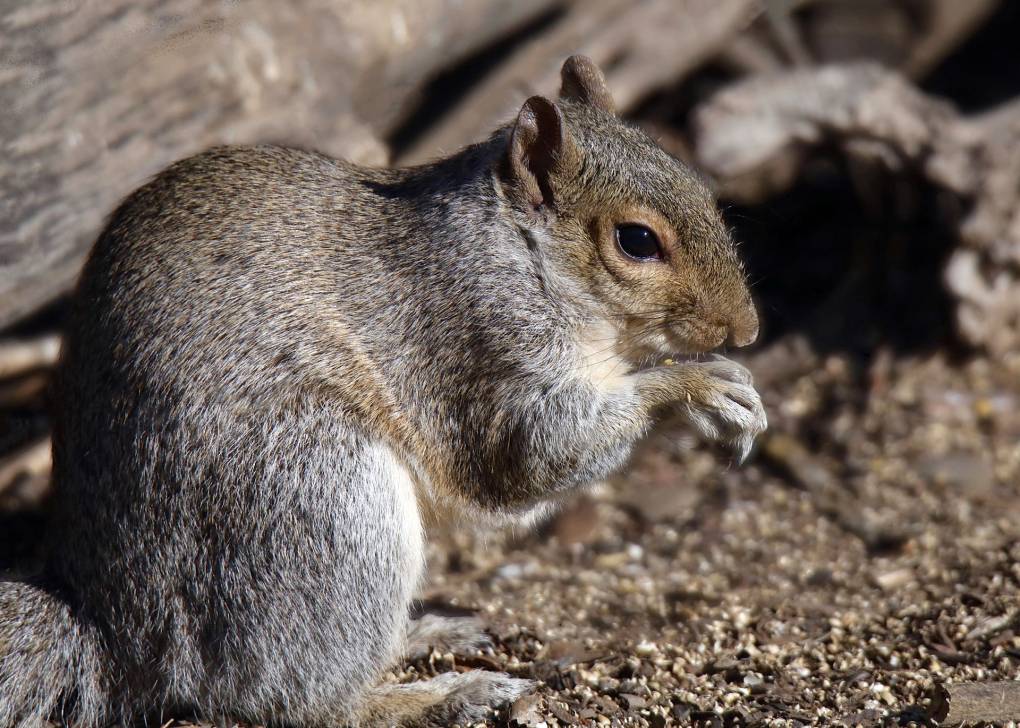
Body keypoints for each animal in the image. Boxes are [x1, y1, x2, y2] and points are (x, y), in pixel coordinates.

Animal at [0, 56, 765, 727]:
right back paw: (436, 698)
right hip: (320, 501)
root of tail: (116, 626)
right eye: (636, 241)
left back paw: (427, 634)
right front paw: (697, 385)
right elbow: (529, 458)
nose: (748, 328)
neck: (518, 254)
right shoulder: (472, 345)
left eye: (699, 187)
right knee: (299, 701)